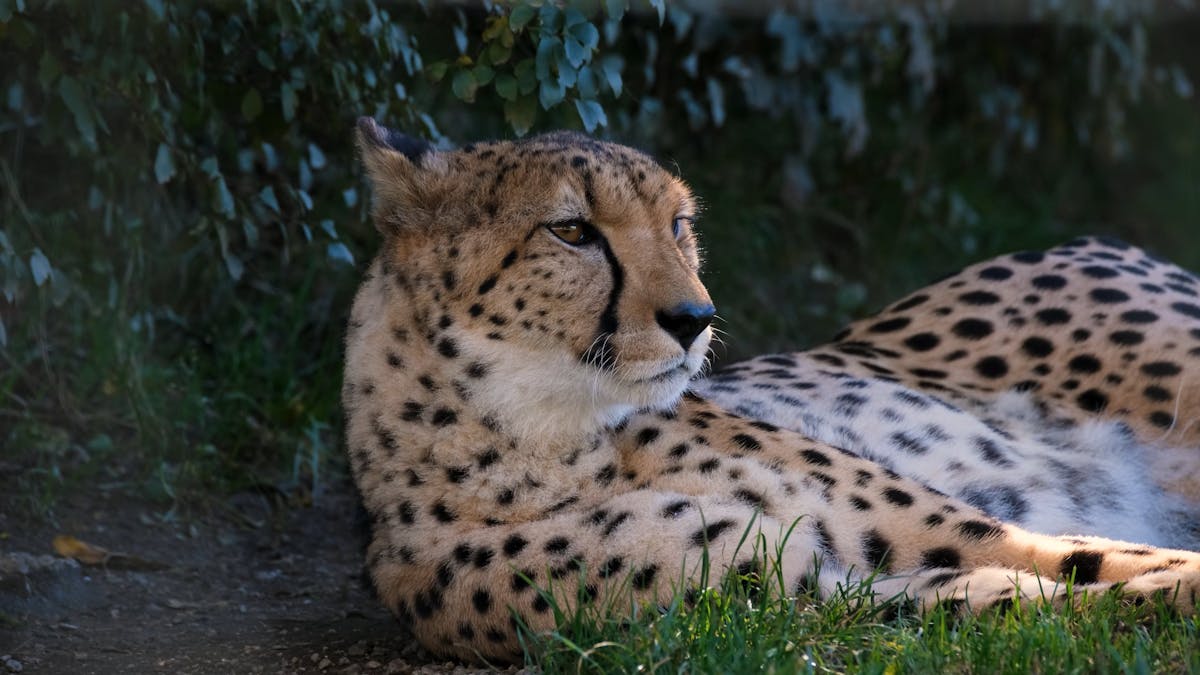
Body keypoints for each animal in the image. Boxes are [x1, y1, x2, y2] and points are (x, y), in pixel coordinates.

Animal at [342, 117, 1200, 665]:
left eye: (678, 223)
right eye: (572, 230)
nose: (695, 317)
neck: (533, 441)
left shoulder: (965, 532)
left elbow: (1091, 553)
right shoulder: (809, 598)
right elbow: (1033, 599)